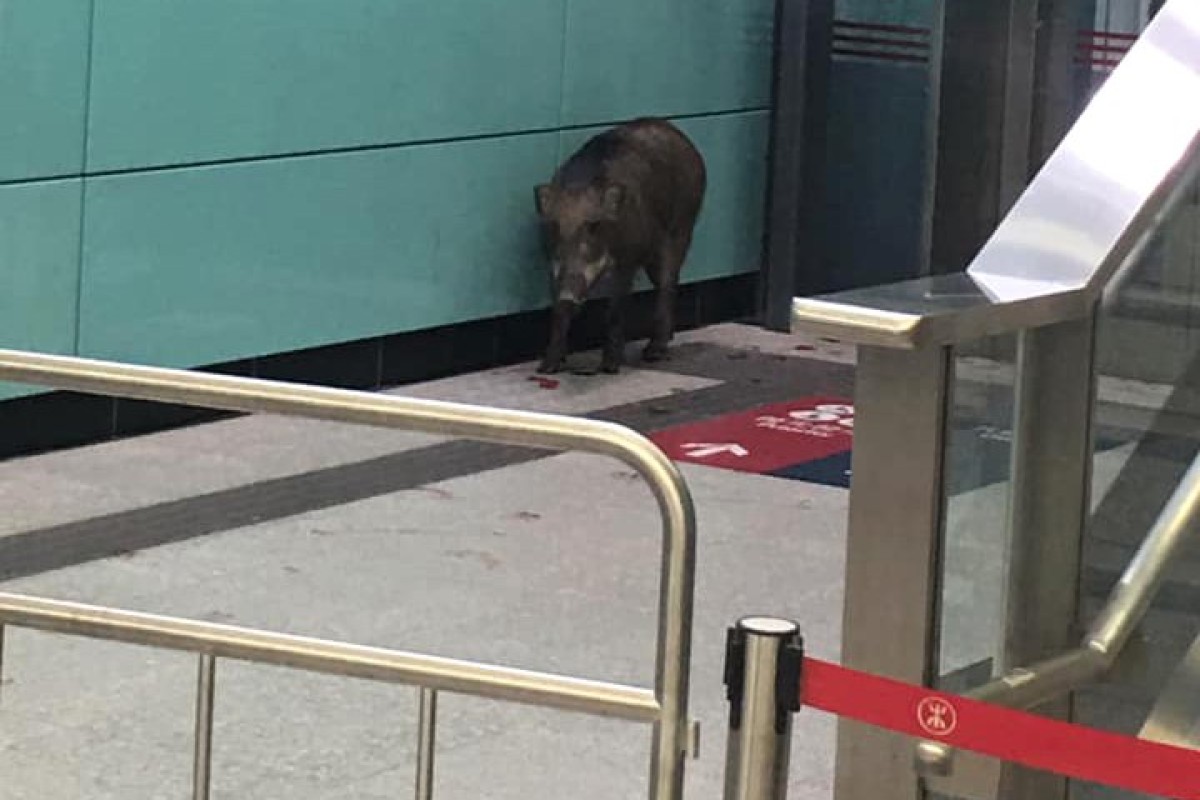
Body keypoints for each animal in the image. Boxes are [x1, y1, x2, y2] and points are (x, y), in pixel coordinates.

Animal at [533, 117, 706, 374]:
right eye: (555, 225)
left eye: (593, 225)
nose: (568, 295)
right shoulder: (552, 264)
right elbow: (558, 311)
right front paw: (547, 367)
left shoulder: (627, 259)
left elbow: (614, 310)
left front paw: (610, 367)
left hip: (682, 227)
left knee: (668, 284)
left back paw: (654, 352)